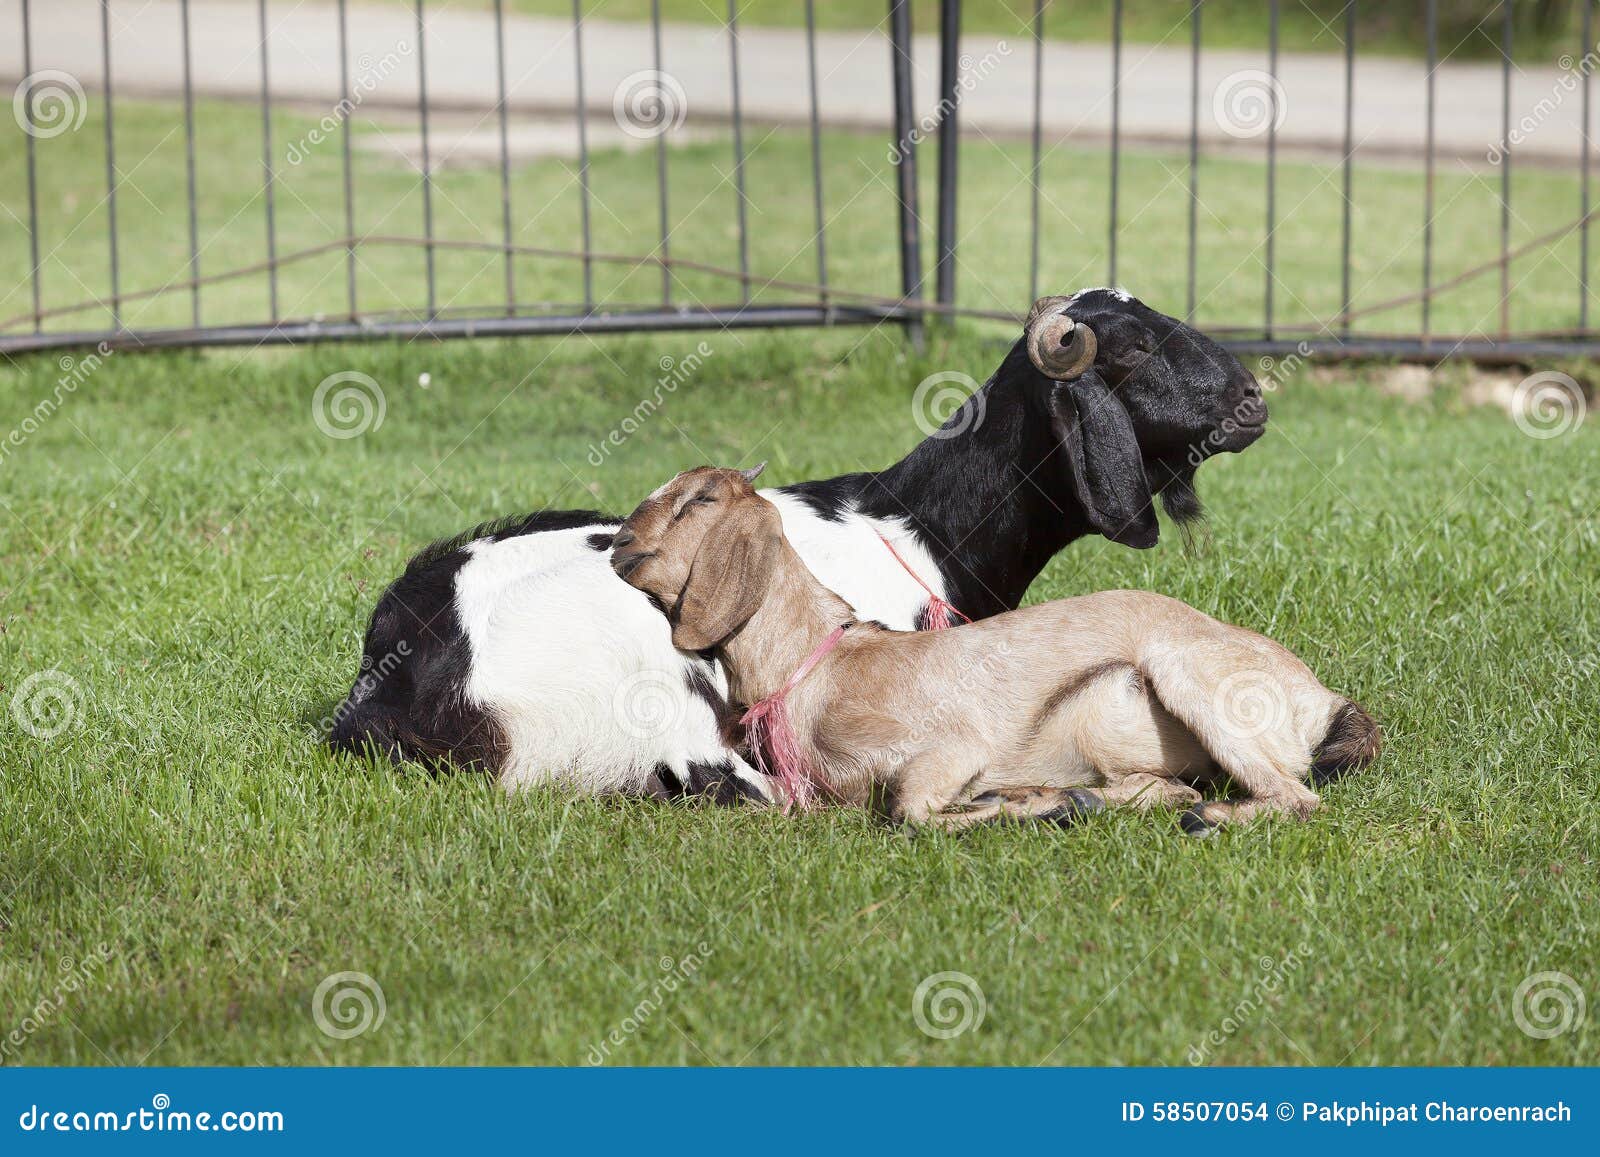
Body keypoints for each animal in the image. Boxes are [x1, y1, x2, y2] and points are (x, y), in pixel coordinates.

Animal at [610, 466, 1381, 833]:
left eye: (698, 501)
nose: (619, 541)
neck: (817, 662)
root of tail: (1320, 696)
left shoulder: (950, 747)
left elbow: (911, 810)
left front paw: (1029, 806)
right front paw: (1045, 801)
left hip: (1192, 678)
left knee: (1294, 797)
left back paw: (1201, 818)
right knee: (1173, 785)